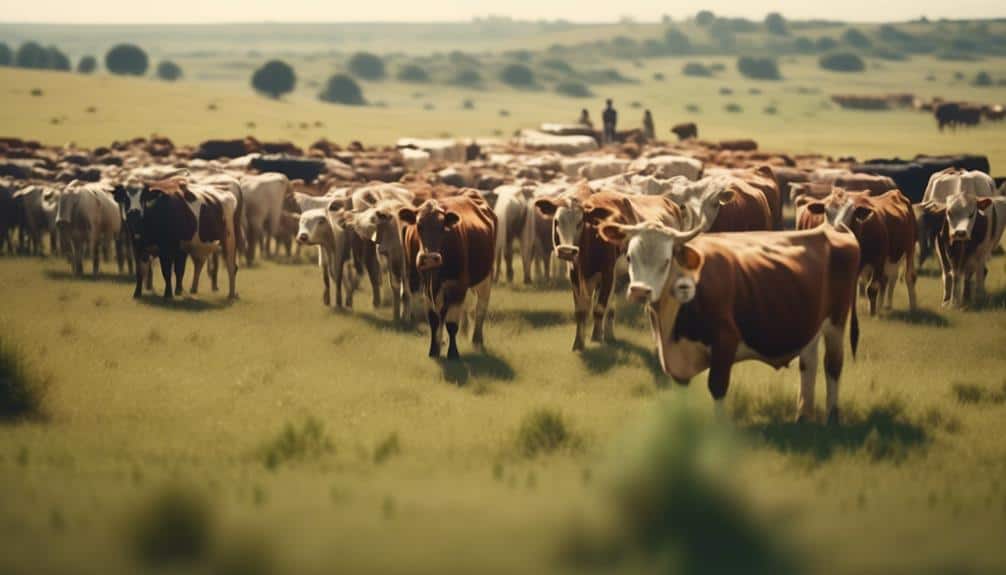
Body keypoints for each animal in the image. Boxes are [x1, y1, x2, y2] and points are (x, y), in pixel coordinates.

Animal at [398, 192, 496, 360]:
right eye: (419, 225)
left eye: (442, 227)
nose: (430, 258)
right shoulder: (427, 287)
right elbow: (434, 320)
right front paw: (434, 350)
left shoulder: (457, 286)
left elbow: (452, 324)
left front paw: (453, 353)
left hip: (485, 277)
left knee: (480, 308)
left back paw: (477, 340)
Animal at [534, 189, 685, 351]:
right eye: (556, 221)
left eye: (580, 222)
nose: (566, 251)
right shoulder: (575, 275)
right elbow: (581, 311)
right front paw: (579, 343)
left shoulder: (608, 273)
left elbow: (599, 308)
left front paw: (596, 339)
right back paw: (609, 334)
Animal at [597, 220, 860, 423]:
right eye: (629, 257)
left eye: (666, 260)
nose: (640, 291)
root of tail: (833, 228)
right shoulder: (677, 359)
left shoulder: (725, 340)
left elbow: (717, 386)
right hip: (810, 324)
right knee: (809, 364)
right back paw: (803, 416)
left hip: (836, 322)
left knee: (833, 365)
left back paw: (832, 418)